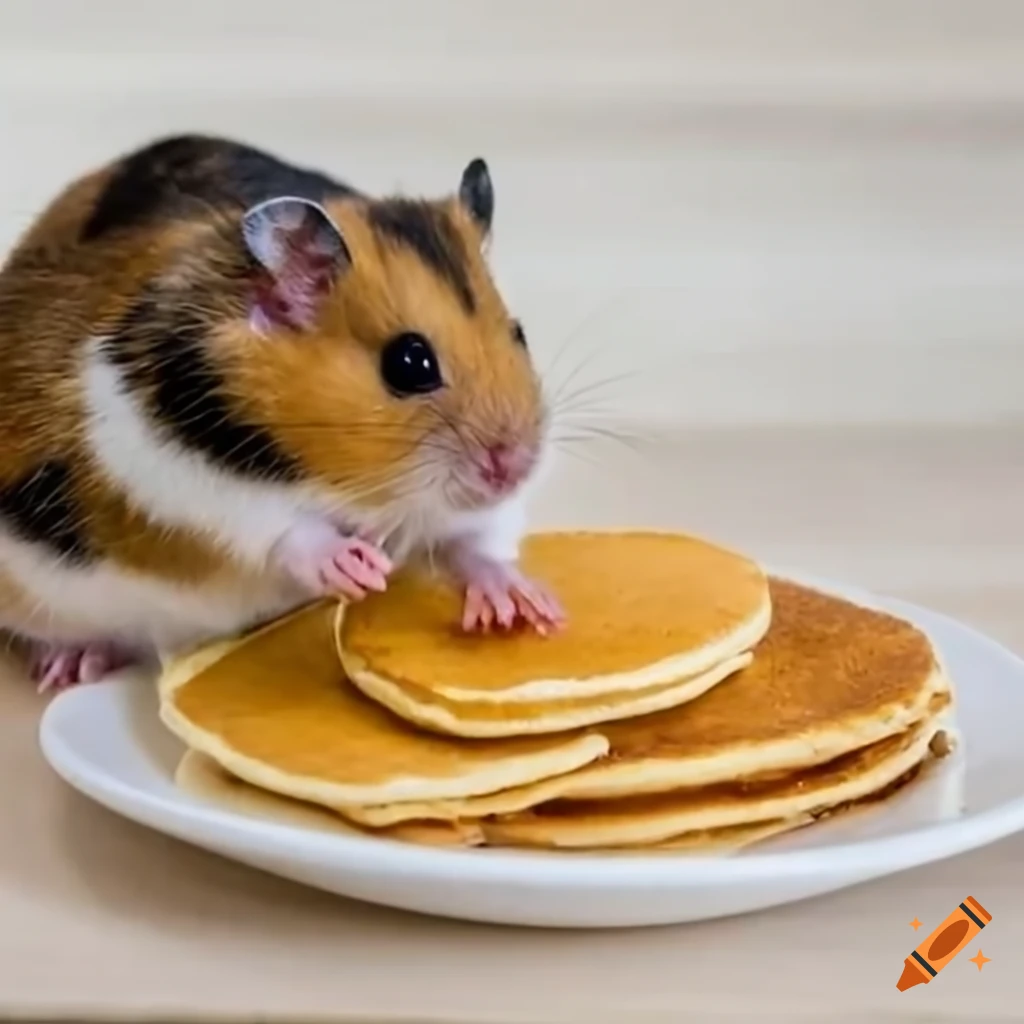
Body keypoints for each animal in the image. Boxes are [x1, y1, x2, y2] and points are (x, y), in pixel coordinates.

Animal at [0, 134, 564, 691]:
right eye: (409, 363)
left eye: (519, 334)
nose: (514, 468)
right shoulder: (164, 469)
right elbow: (274, 525)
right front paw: (359, 567)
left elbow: (474, 541)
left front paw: (526, 608)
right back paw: (72, 667)